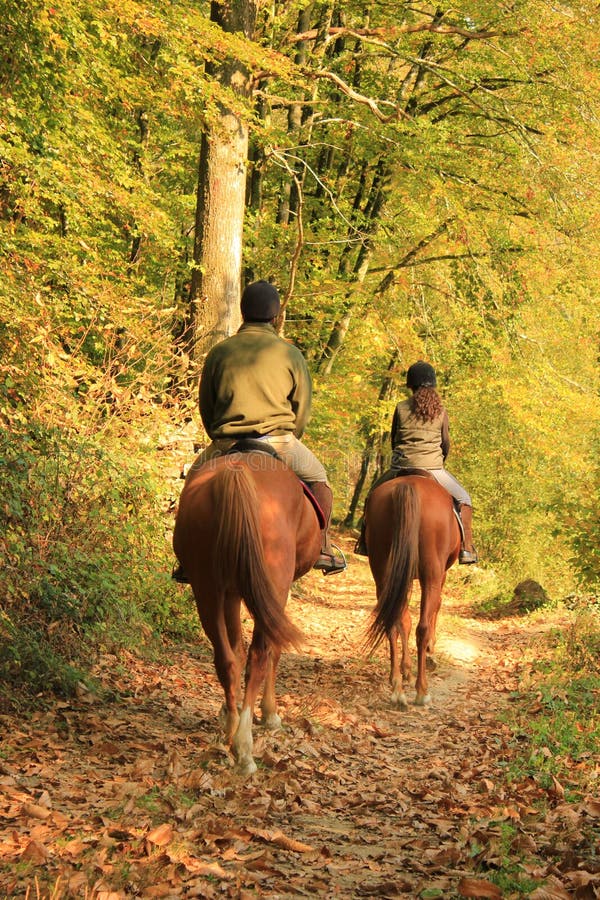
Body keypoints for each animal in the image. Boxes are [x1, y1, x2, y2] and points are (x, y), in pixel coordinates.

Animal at [172, 446, 322, 775]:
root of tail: (237, 472)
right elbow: (271, 652)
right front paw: (270, 714)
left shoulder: (230, 592)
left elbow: (236, 651)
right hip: (271, 587)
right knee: (260, 656)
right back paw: (244, 747)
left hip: (207, 588)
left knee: (226, 659)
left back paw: (230, 729)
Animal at [363, 474, 461, 709]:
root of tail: (409, 485)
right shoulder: (440, 574)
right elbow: (436, 606)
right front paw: (430, 651)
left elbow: (404, 621)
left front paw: (406, 670)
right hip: (431, 573)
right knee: (422, 626)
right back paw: (421, 691)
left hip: (382, 572)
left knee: (391, 622)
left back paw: (397, 688)